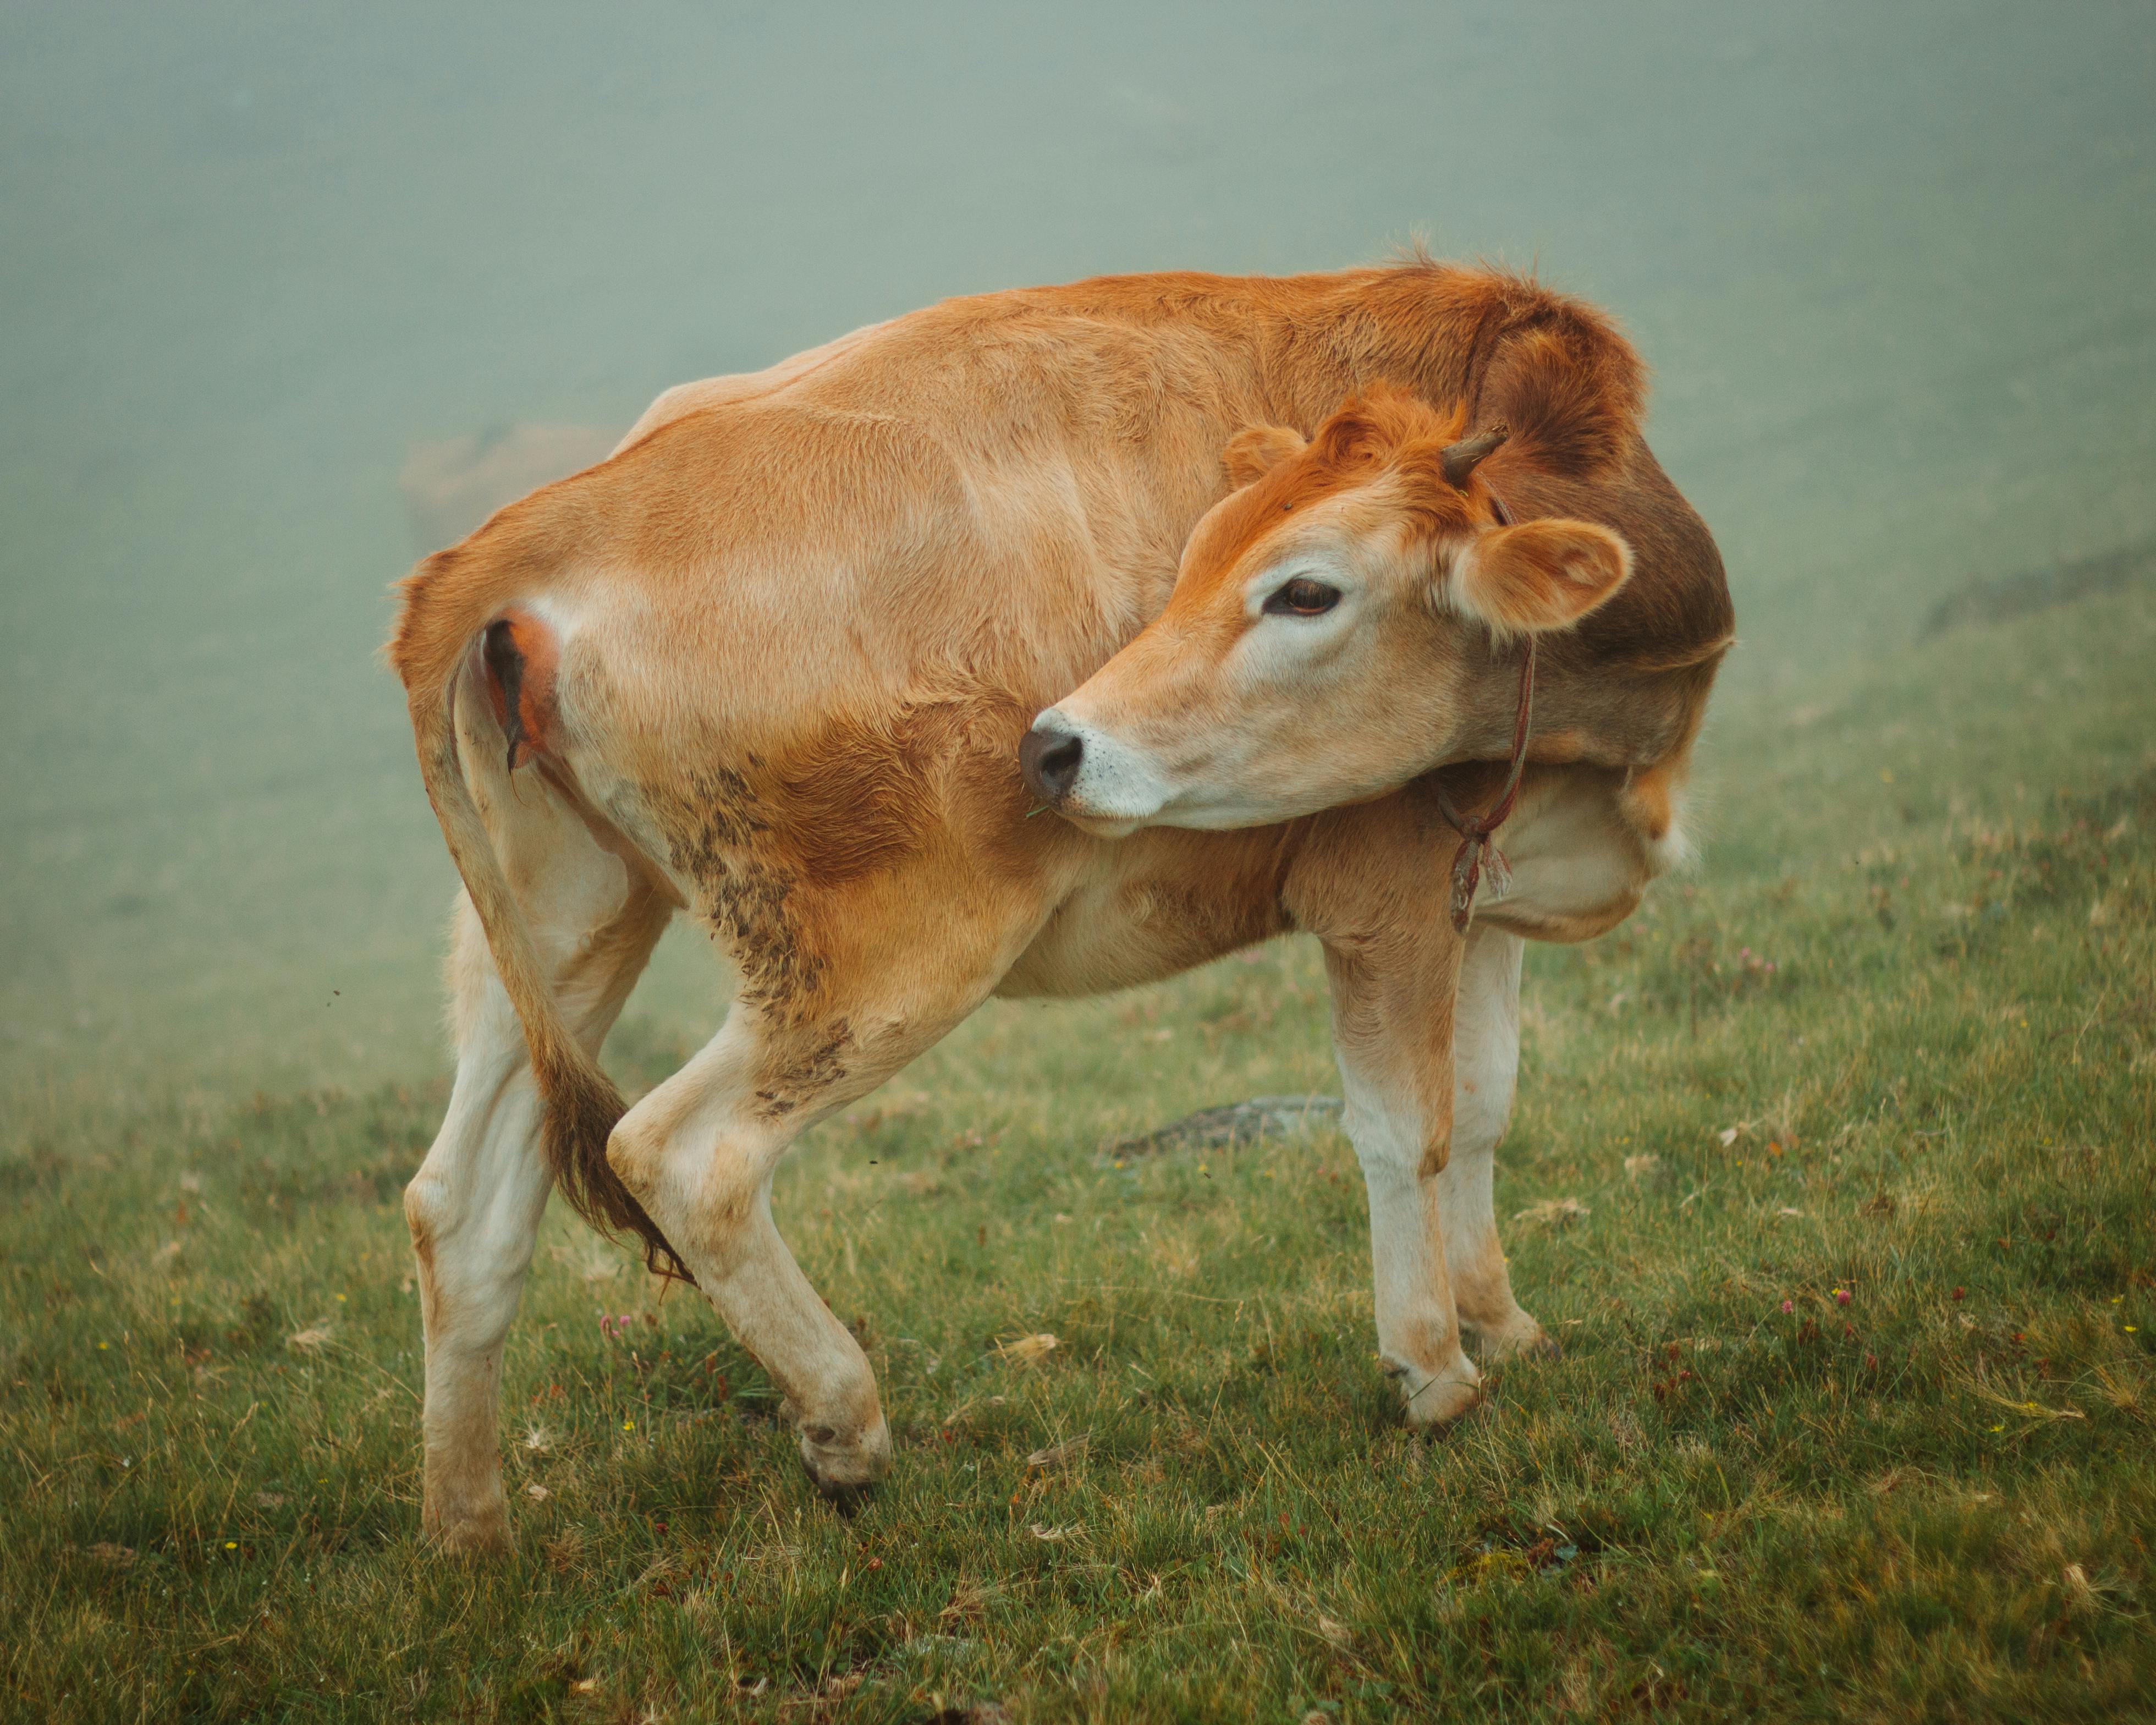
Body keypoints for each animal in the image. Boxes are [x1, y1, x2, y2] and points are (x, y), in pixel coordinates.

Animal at [388, 262, 1732, 1553]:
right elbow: (1410, 1128)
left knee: (461, 1205)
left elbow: (1489, 1102)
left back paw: (470, 1532)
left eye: (1302, 590)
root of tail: (551, 521)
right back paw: (844, 1422)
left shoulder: (1488, 887)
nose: (1056, 746)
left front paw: (1504, 1322)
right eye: (1224, 569)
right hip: (883, 959)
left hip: (564, 927)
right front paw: (1437, 1370)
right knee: (684, 1154)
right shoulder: (1382, 895)